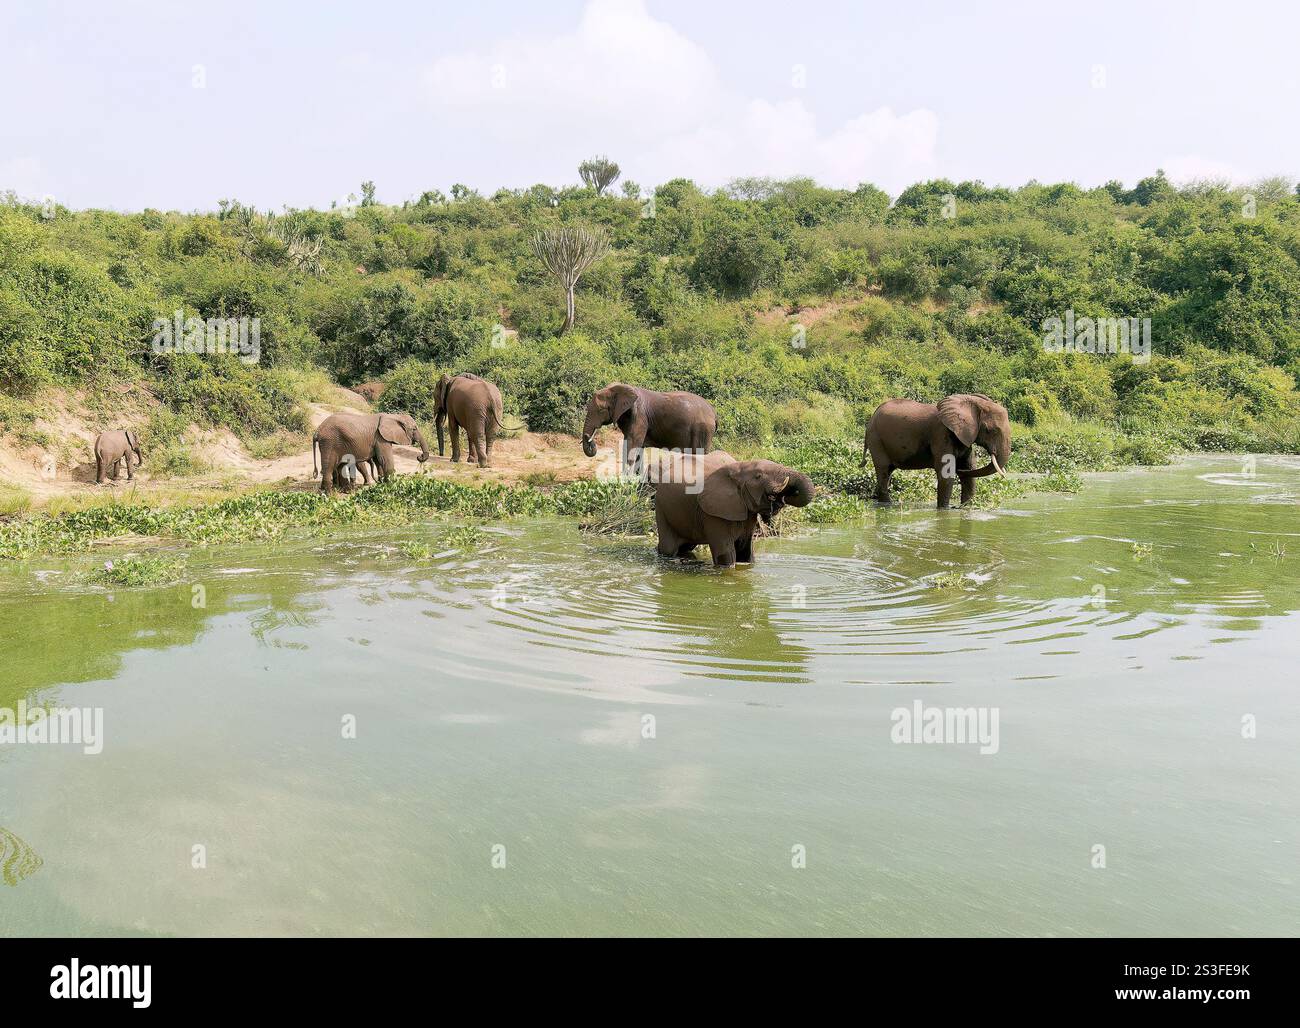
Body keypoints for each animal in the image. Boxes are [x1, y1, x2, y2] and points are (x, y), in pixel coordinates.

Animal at [581, 383, 717, 475]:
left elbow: (632, 446)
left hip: (702, 430)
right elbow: (636, 449)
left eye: (601, 410)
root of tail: (714, 412)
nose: (589, 438)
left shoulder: (639, 416)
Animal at [651, 449, 814, 567]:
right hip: (661, 507)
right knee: (668, 548)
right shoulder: (713, 513)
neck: (740, 467)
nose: (779, 498)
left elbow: (745, 551)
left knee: (686, 547)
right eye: (758, 476)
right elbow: (726, 555)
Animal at [861, 393, 1011, 509]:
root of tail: (872, 417)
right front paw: (945, 510)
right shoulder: (941, 434)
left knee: (888, 473)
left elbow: (969, 471)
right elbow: (946, 473)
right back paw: (887, 505)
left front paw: (965, 508)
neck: (973, 403)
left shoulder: (965, 437)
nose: (956, 506)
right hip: (876, 439)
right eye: (990, 430)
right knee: (883, 471)